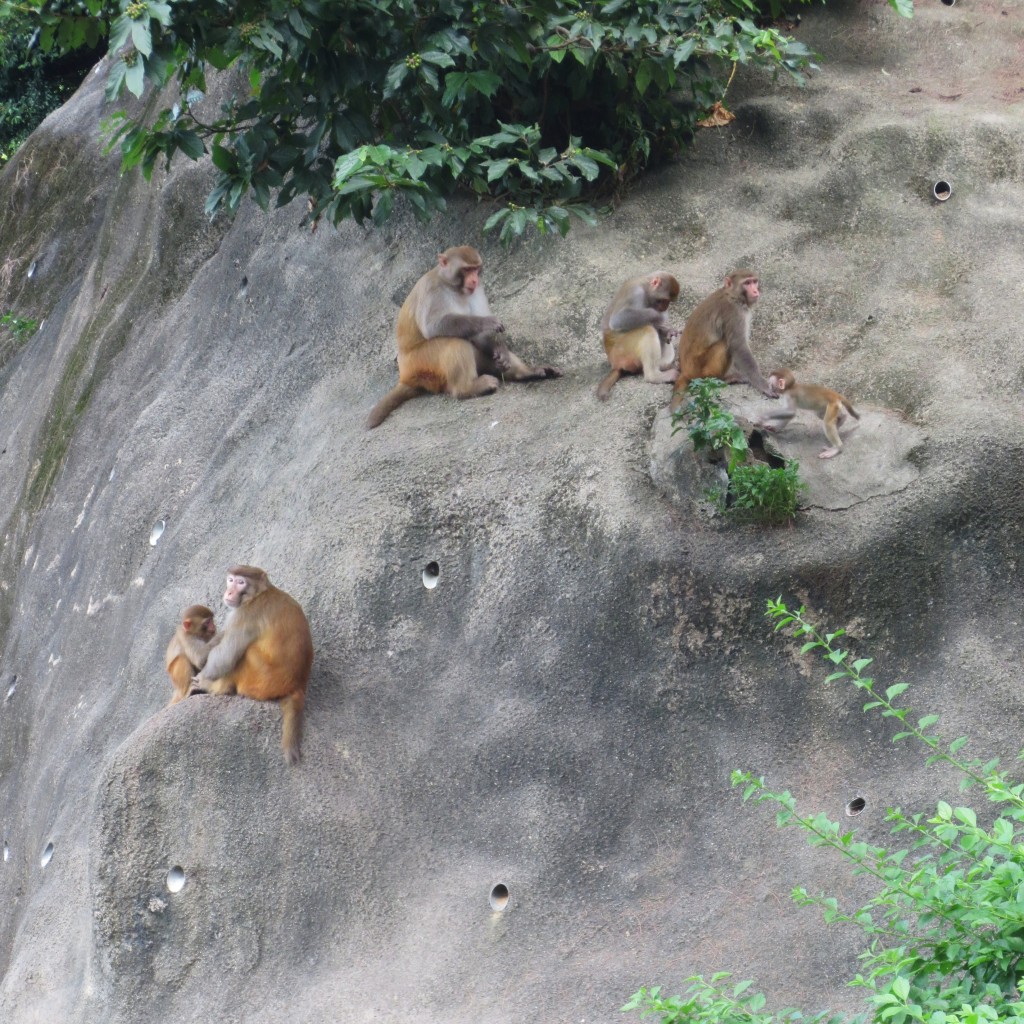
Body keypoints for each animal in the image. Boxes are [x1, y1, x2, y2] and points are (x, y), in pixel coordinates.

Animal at [193, 566, 313, 765]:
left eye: (241, 582)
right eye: (231, 580)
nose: (229, 592)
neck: (260, 594)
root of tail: (297, 686)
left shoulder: (246, 613)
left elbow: (225, 657)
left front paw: (202, 679)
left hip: (261, 682)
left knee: (244, 653)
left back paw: (220, 689)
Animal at [366, 245, 562, 428]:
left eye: (476, 269)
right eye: (467, 270)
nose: (474, 279)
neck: (452, 286)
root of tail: (405, 376)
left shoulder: (477, 289)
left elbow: (483, 336)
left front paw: (501, 350)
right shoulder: (432, 290)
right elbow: (433, 326)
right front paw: (487, 322)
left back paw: (525, 372)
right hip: (422, 363)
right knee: (454, 342)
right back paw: (466, 388)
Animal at [669, 268, 776, 412]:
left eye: (754, 282)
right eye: (747, 283)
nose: (755, 291)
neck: (732, 296)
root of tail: (685, 372)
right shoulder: (734, 313)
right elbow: (739, 345)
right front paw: (762, 384)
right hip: (699, 368)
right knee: (724, 344)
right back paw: (719, 378)